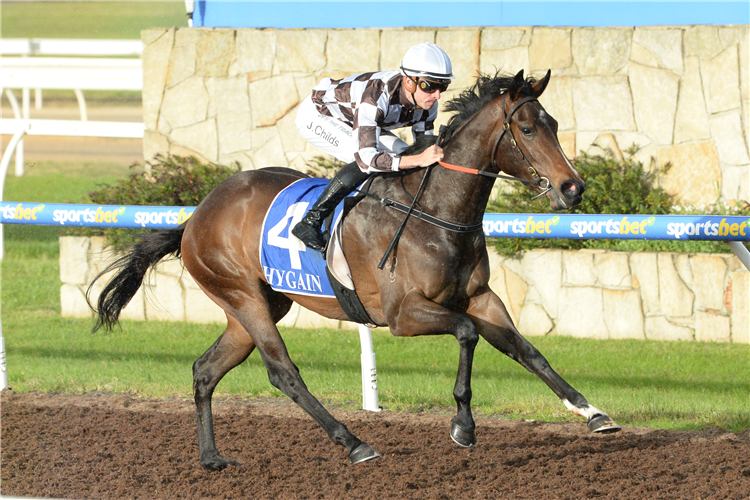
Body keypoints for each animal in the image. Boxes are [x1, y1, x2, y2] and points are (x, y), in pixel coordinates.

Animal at [89, 69, 620, 470]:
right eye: (527, 130)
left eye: (553, 123)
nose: (573, 188)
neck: (436, 211)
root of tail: (195, 217)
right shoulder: (404, 314)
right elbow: (467, 334)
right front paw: (463, 426)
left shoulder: (480, 297)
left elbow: (527, 351)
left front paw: (593, 412)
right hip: (242, 296)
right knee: (283, 372)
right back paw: (354, 442)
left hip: (256, 305)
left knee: (205, 369)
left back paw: (212, 458)